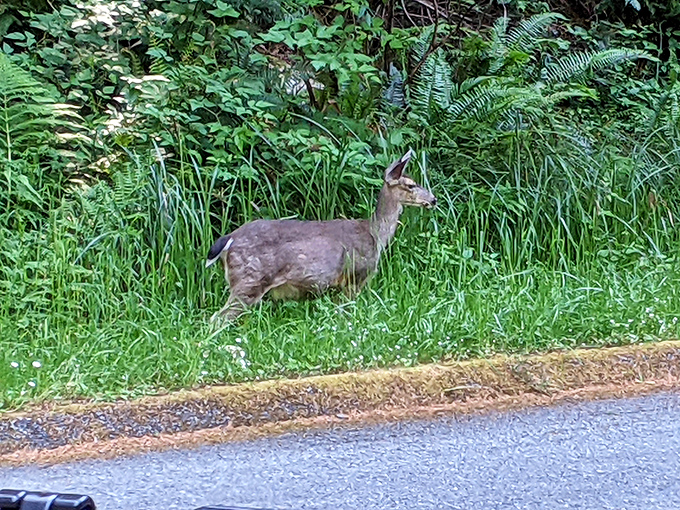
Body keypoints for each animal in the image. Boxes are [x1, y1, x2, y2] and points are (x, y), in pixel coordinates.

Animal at [205, 150, 437, 321]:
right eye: (411, 185)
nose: (433, 200)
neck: (375, 235)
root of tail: (228, 239)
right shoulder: (355, 275)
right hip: (250, 279)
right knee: (218, 318)